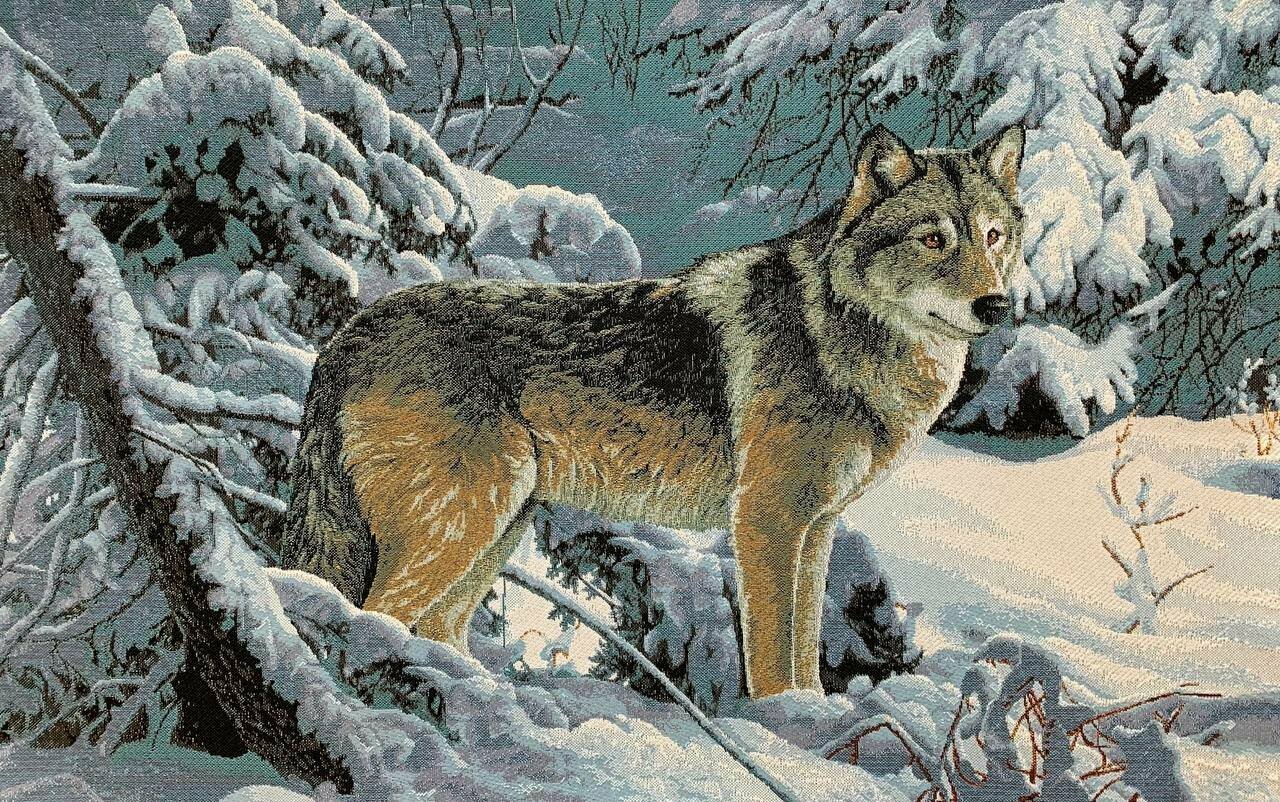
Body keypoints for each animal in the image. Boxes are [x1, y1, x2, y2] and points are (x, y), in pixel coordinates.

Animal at [281, 124, 1025, 698]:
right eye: (934, 240)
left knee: (436, 625)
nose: (996, 305)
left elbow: (807, 645)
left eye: (993, 237)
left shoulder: (815, 532)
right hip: (466, 520)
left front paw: (816, 714)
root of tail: (346, 335)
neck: (842, 334)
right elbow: (771, 654)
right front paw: (782, 725)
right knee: (368, 611)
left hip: (496, 527)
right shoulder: (767, 522)